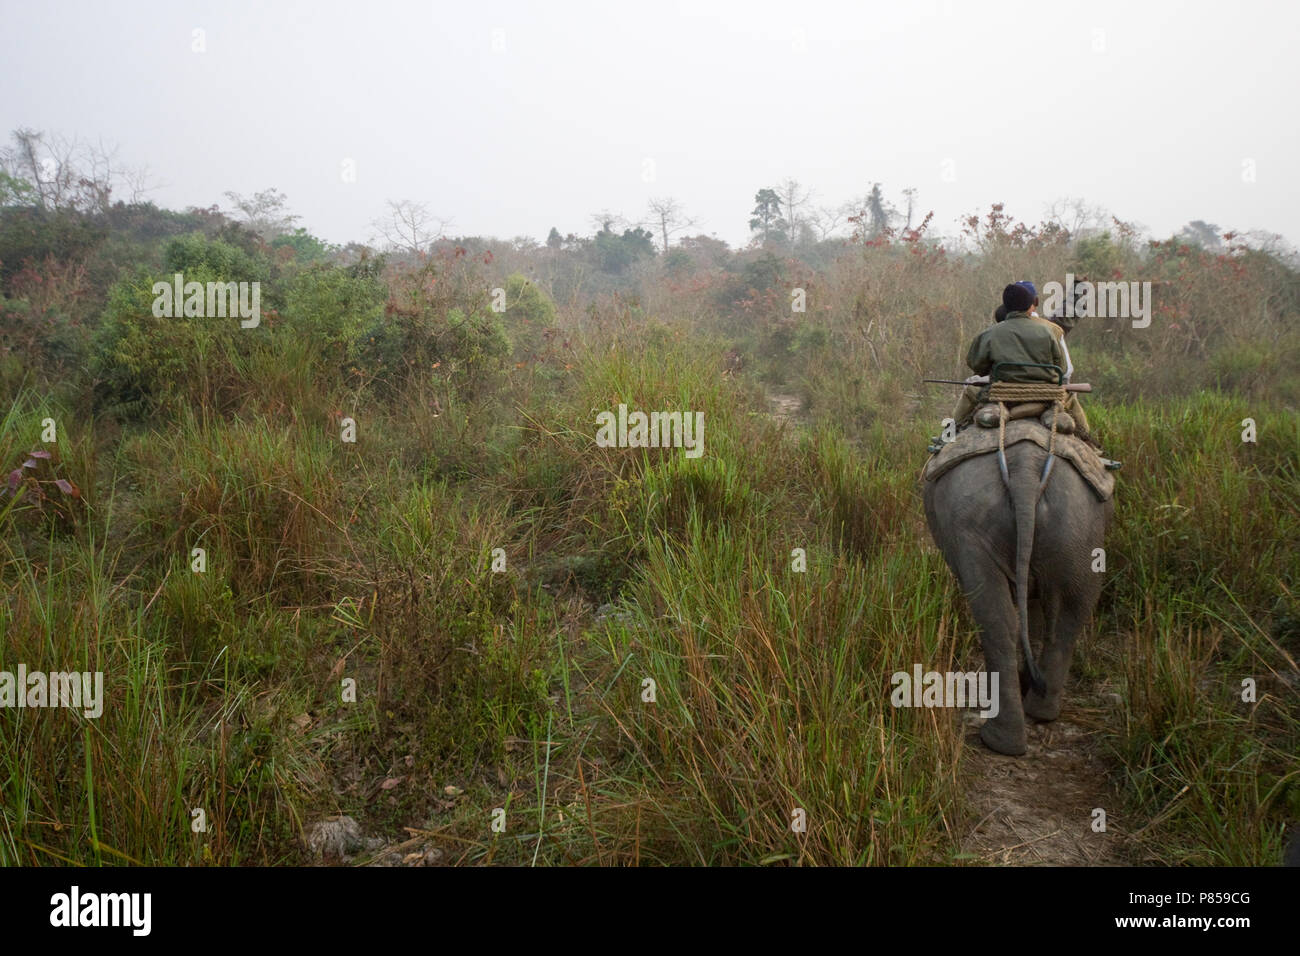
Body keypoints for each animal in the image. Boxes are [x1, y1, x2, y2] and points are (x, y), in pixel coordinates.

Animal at [923, 434, 1113, 755]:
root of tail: (1026, 470)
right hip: (1077, 530)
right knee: (1067, 613)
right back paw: (1036, 714)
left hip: (988, 526)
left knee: (1001, 619)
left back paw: (1001, 737)